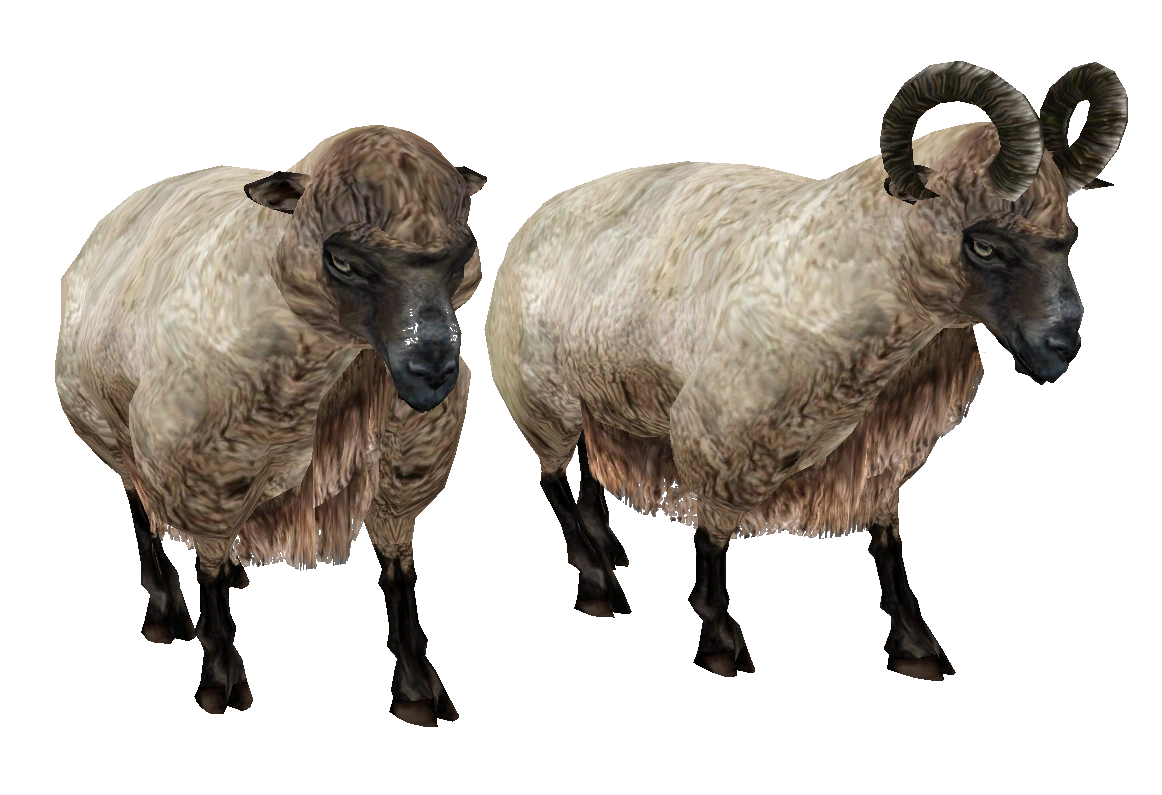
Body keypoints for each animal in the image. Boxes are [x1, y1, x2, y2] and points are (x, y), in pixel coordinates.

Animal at [55, 122, 487, 723]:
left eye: (462, 257)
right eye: (343, 261)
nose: (434, 372)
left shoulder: (406, 472)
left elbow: (400, 572)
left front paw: (419, 691)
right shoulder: (201, 471)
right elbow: (207, 571)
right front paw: (221, 684)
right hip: (111, 431)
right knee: (141, 514)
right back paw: (168, 619)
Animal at [483, 58, 1127, 683]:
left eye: (1069, 238)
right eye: (985, 245)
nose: (1064, 346)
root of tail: (535, 217)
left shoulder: (883, 454)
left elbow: (887, 544)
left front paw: (917, 650)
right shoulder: (719, 439)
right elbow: (711, 543)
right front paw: (722, 650)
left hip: (596, 399)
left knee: (584, 470)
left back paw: (612, 552)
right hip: (543, 394)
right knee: (551, 481)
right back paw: (600, 588)